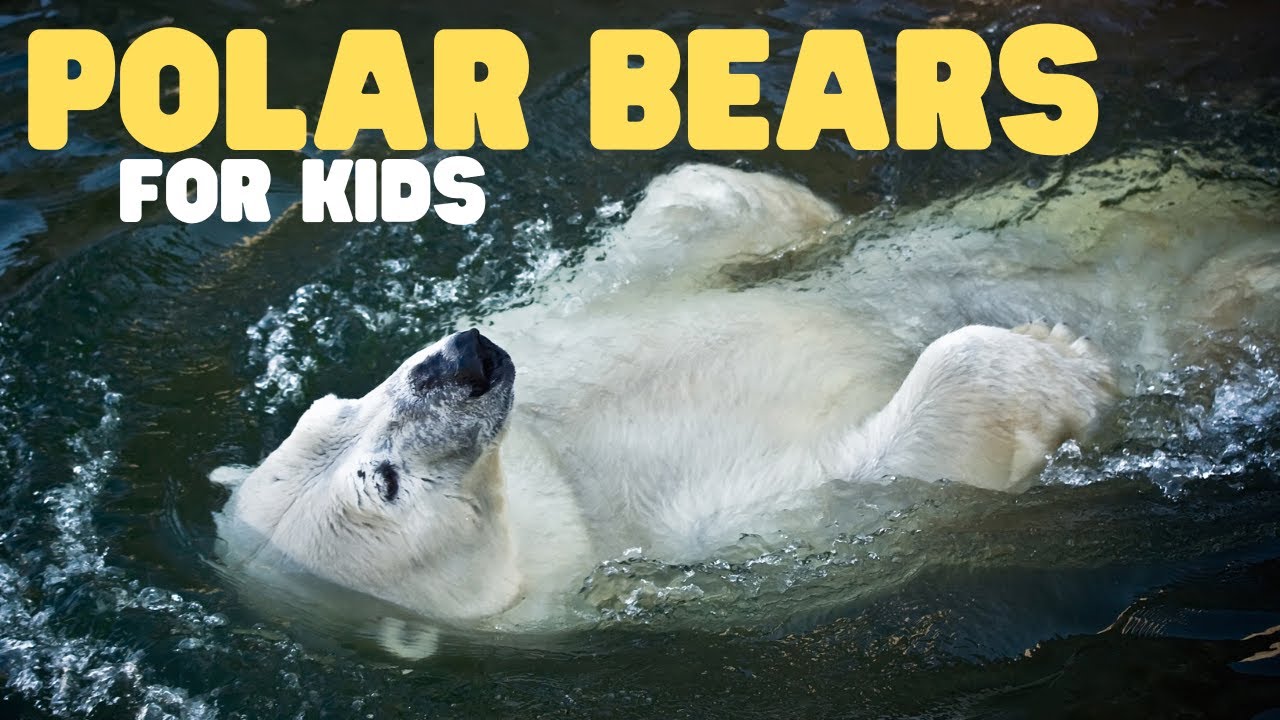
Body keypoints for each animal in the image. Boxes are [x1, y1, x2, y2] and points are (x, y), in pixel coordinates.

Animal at [213, 153, 1279, 641]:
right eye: (383, 483)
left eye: (335, 411)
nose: (467, 360)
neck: (559, 480)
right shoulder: (718, 543)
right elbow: (893, 461)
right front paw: (1059, 359)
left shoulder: (562, 337)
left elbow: (695, 203)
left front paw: (806, 220)